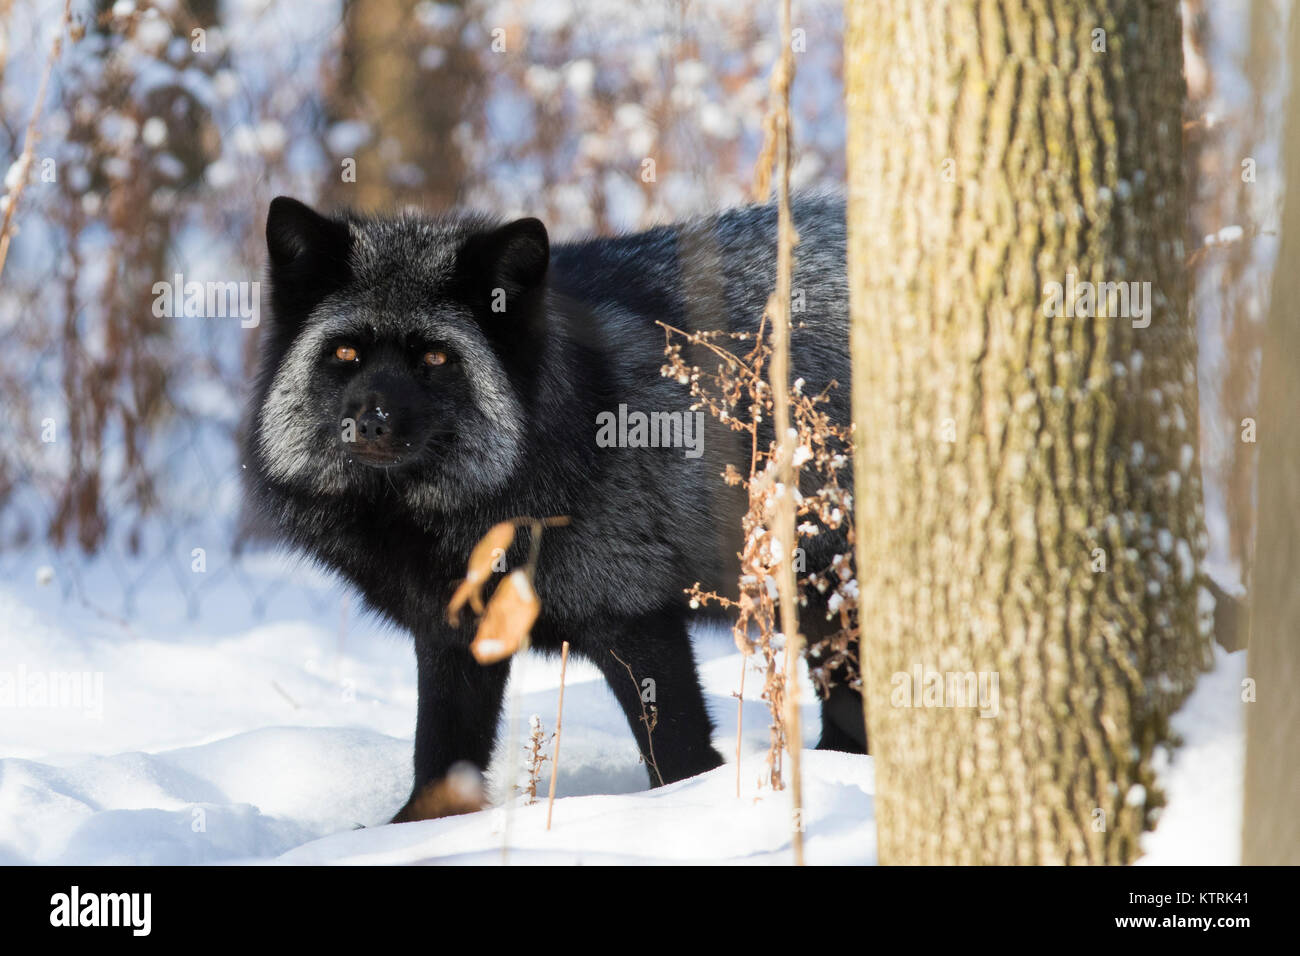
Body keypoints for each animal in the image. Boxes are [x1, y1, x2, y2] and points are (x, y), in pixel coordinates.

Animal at [243, 193, 864, 823]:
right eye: (346, 352)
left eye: (435, 358)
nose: (371, 422)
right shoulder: (453, 636)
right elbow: (440, 764)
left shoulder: (634, 615)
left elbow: (679, 754)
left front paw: (679, 811)